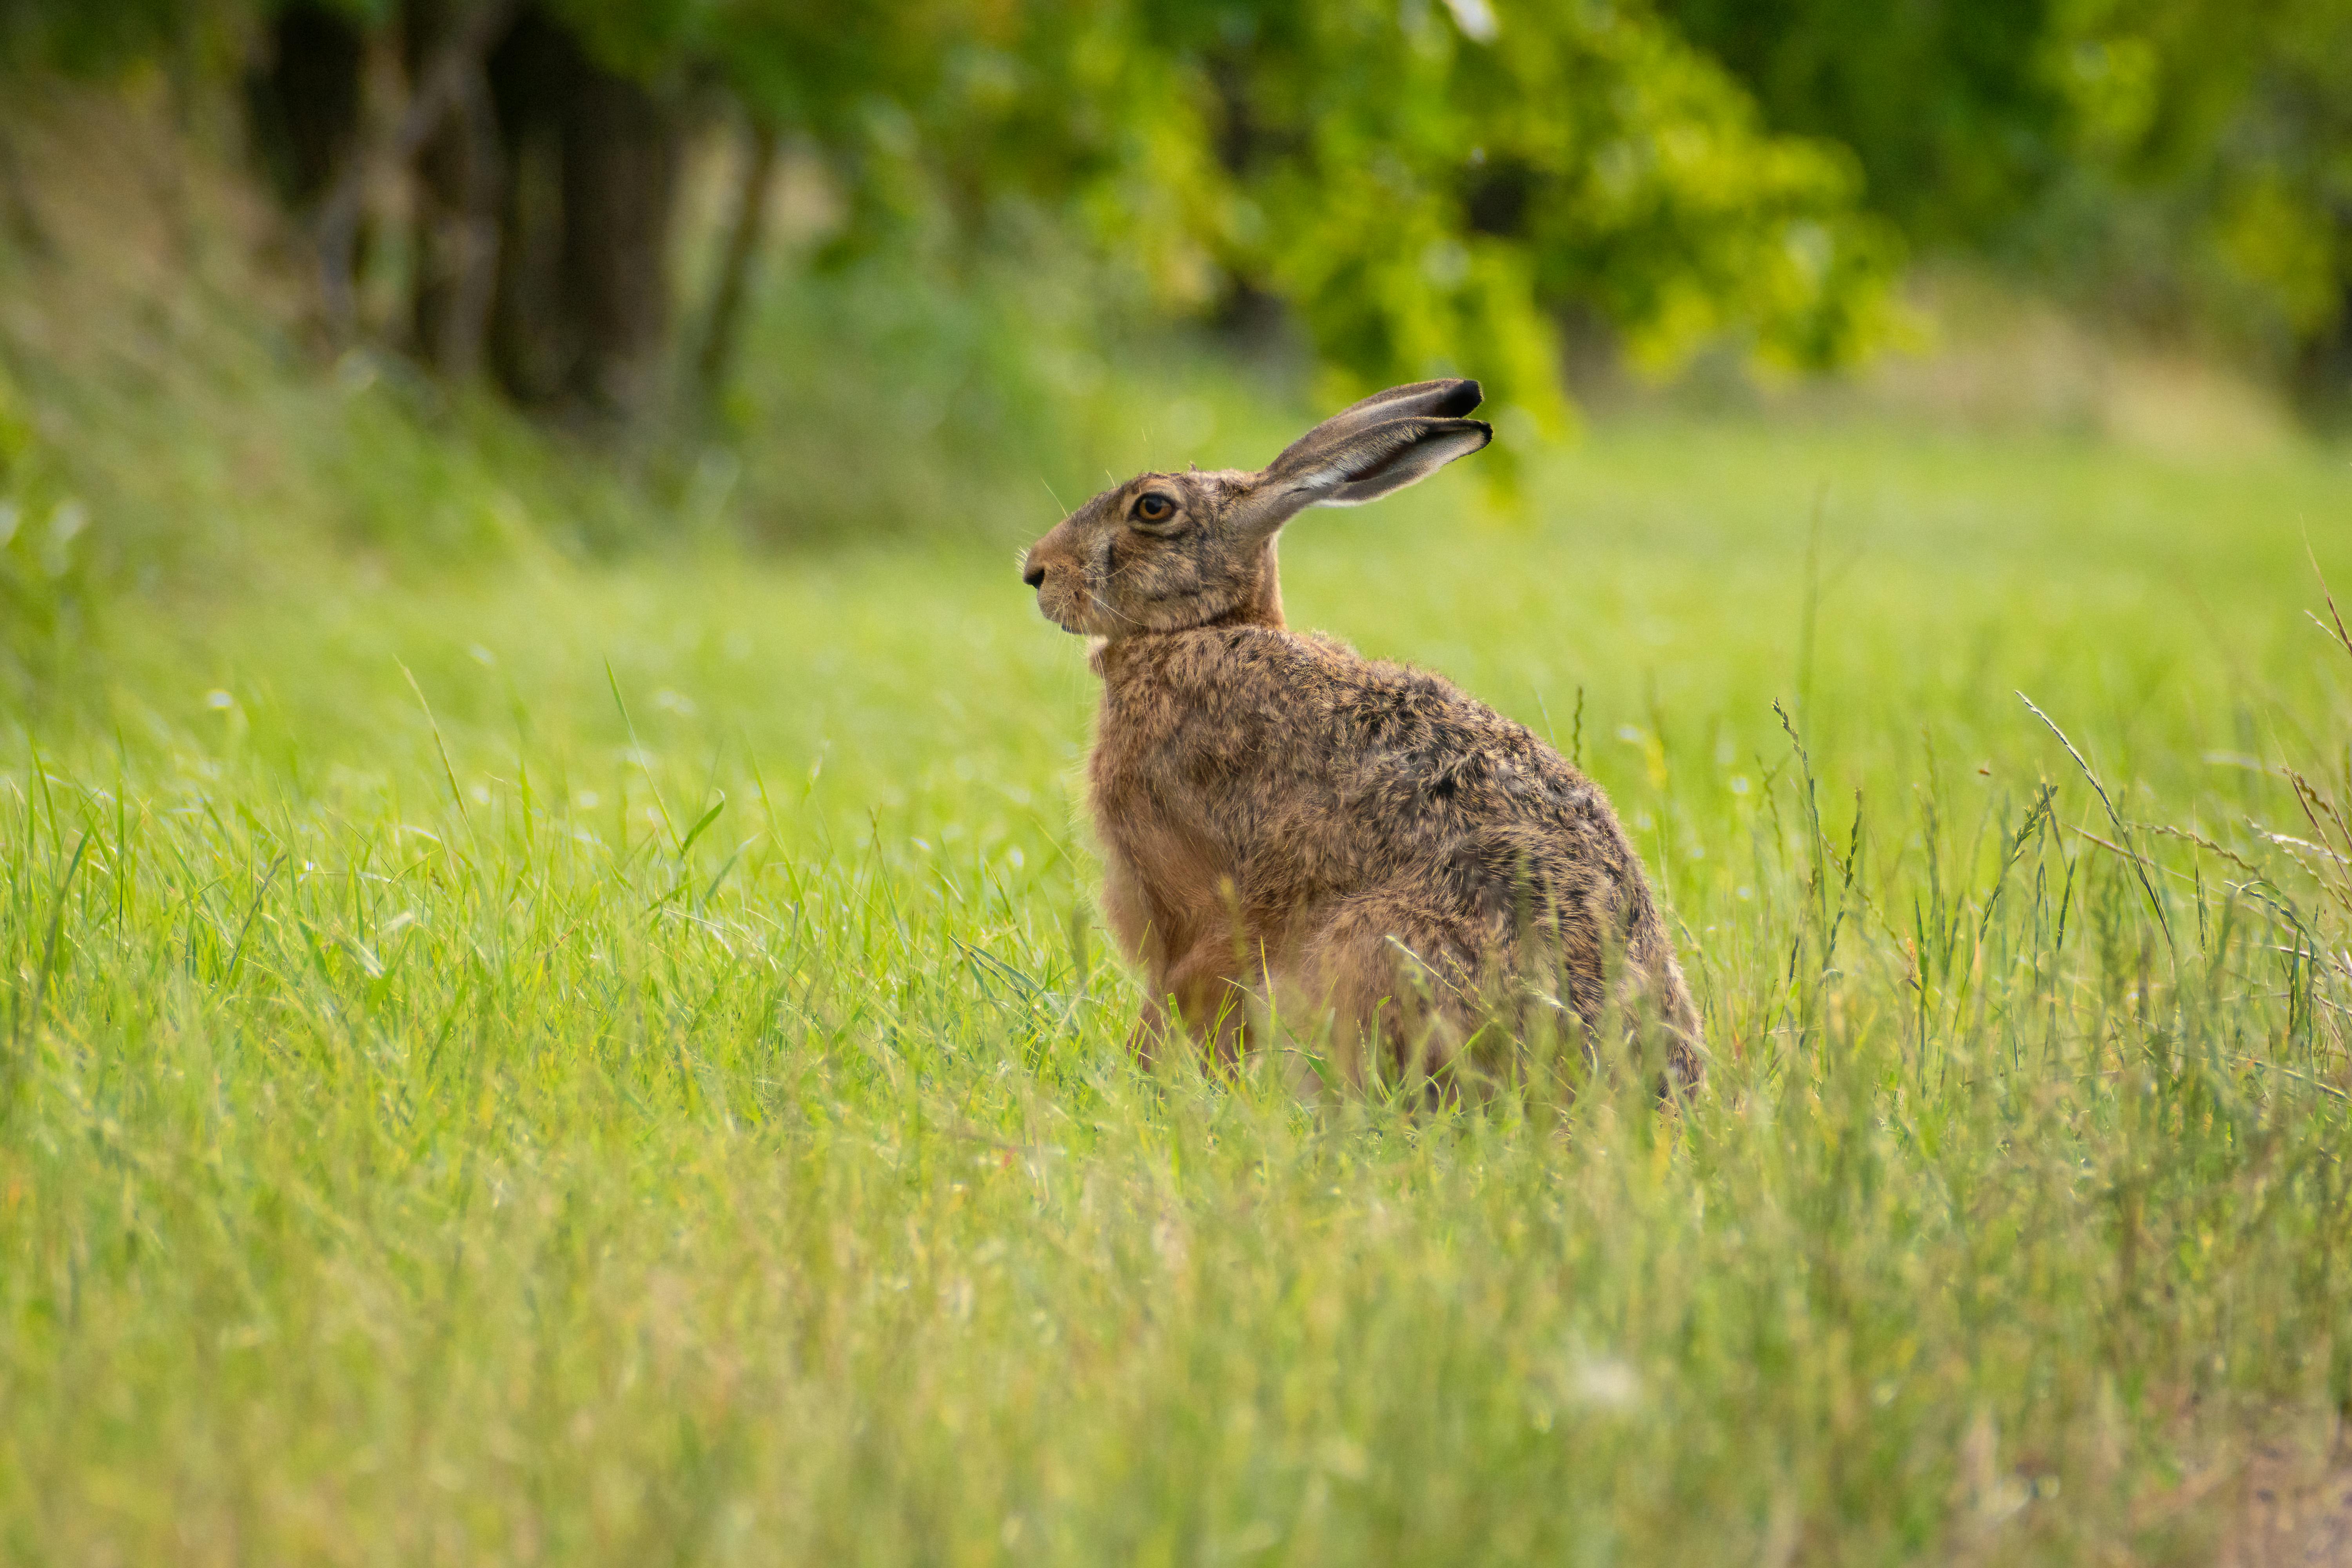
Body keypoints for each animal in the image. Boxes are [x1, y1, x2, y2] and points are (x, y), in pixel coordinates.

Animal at [1021, 379, 1704, 1092]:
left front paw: (1149, 1085)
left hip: (1378, 945)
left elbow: (1186, 1003)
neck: (1202, 630)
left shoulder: (1200, 905)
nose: (1035, 572)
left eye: (1153, 507)